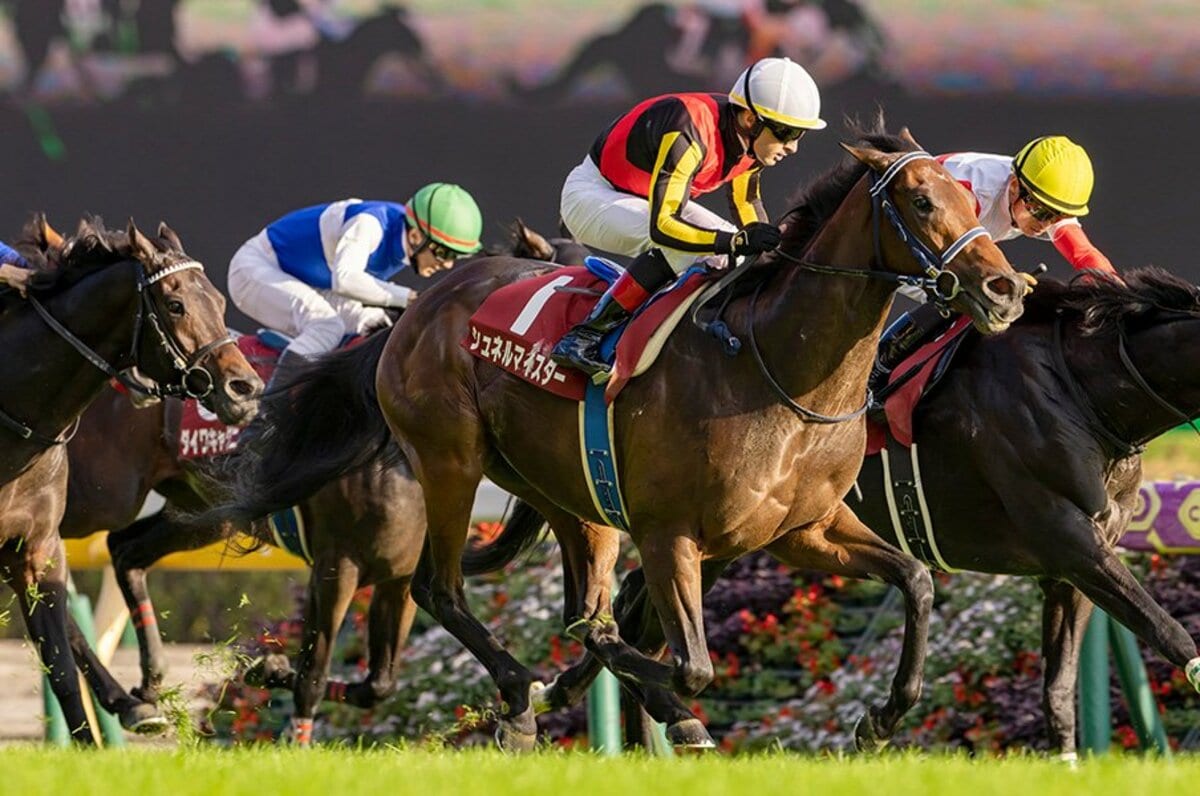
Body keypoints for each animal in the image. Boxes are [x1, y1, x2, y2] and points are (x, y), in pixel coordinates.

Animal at [66, 225, 586, 742]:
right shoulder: (338, 565)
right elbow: (313, 679)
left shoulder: (395, 576)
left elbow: (378, 683)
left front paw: (268, 668)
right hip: (103, 495)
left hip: (202, 513)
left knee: (126, 550)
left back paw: (148, 687)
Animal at [206, 119, 1026, 750]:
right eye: (921, 200)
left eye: (969, 197)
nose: (1004, 289)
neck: (781, 374)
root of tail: (420, 308)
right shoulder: (670, 532)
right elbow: (692, 663)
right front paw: (639, 698)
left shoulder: (803, 531)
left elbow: (916, 580)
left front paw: (883, 717)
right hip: (449, 458)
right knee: (444, 589)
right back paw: (523, 689)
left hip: (568, 493)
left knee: (581, 609)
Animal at [532, 268, 1200, 757]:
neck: (1081, 393)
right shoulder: (1068, 539)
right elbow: (1166, 629)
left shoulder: (1071, 565)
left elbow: (1060, 687)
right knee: (638, 623)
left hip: (719, 538)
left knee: (640, 621)